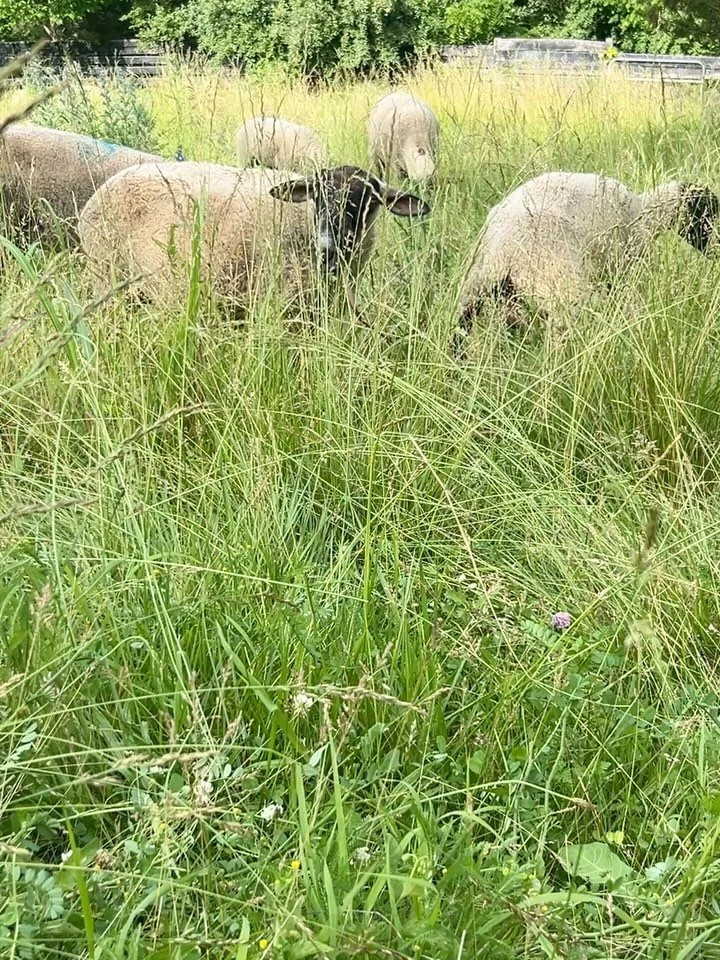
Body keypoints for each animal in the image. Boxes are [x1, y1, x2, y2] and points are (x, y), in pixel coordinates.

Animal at [458, 171, 720, 340]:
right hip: (563, 289)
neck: (647, 210)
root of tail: (504, 252)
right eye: (708, 212)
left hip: (477, 289)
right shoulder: (625, 268)